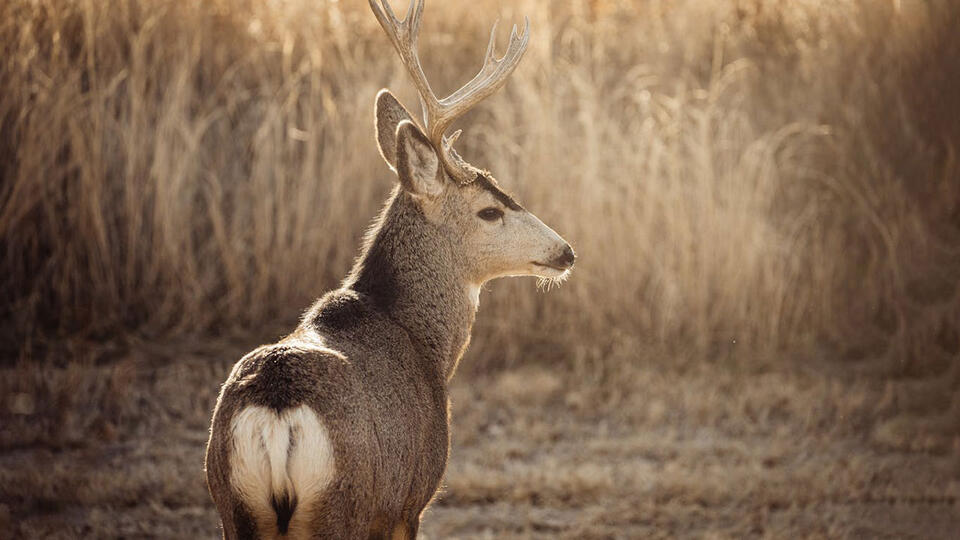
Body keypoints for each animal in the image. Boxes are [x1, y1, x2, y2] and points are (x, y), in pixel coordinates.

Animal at [204, 1, 575, 538]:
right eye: (490, 210)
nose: (565, 251)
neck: (423, 341)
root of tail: (276, 414)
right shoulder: (409, 503)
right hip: (343, 506)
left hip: (232, 505)